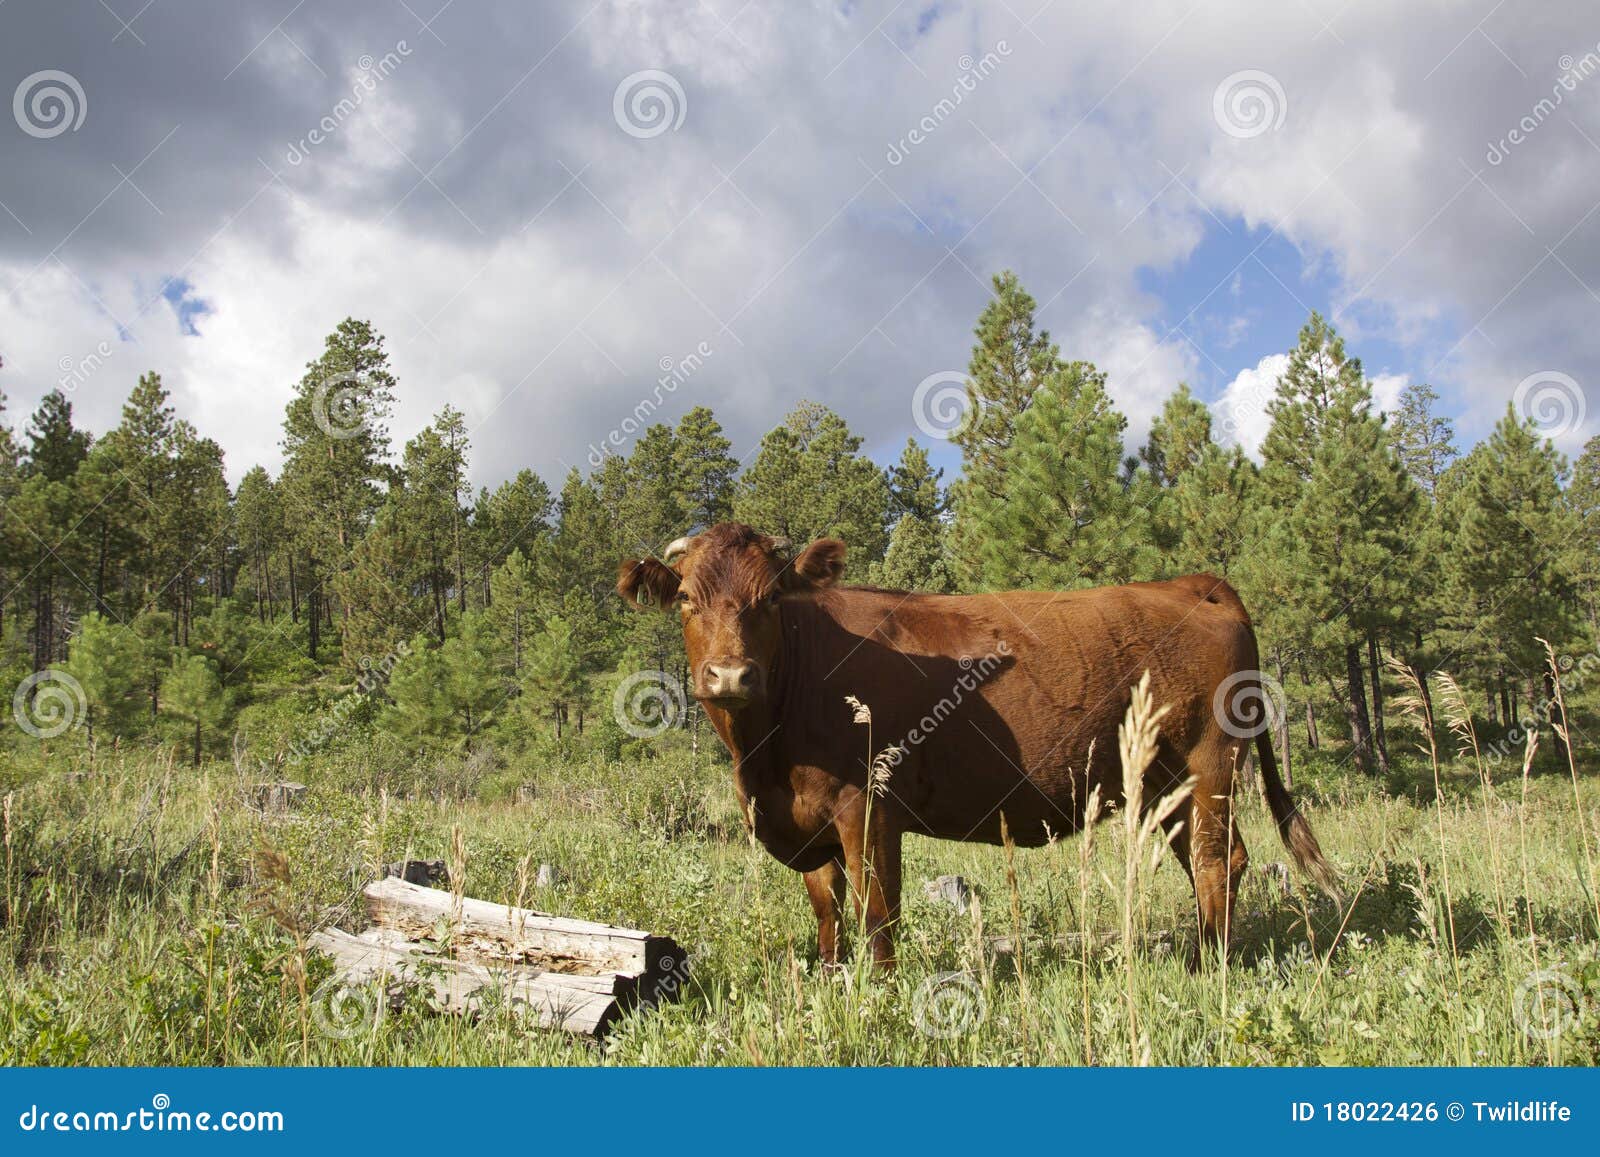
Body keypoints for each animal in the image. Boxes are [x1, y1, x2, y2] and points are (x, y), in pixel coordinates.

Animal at [618, 522, 1338, 969]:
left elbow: (878, 909)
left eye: (770, 598)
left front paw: (879, 998)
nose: (731, 674)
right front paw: (830, 982)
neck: (765, 760)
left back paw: (1208, 966)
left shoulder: (868, 806)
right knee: (1204, 857)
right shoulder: (807, 824)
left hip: (1209, 764)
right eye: (686, 598)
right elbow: (829, 911)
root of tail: (1189, 582)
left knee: (1219, 861)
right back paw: (1201, 954)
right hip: (1166, 782)